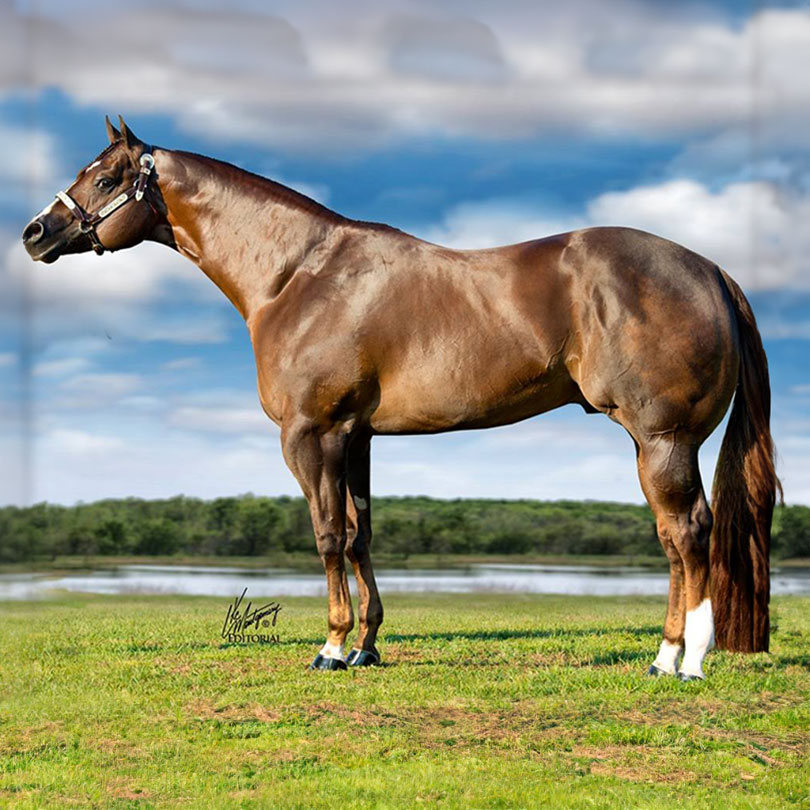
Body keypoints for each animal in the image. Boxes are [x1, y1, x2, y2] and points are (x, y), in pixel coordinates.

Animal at [22, 116, 779, 680]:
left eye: (107, 177)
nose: (35, 233)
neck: (297, 276)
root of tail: (709, 269)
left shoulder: (311, 434)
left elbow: (327, 535)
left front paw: (331, 648)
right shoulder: (355, 437)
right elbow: (361, 536)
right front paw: (366, 647)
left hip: (662, 441)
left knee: (687, 534)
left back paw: (680, 661)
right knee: (682, 538)